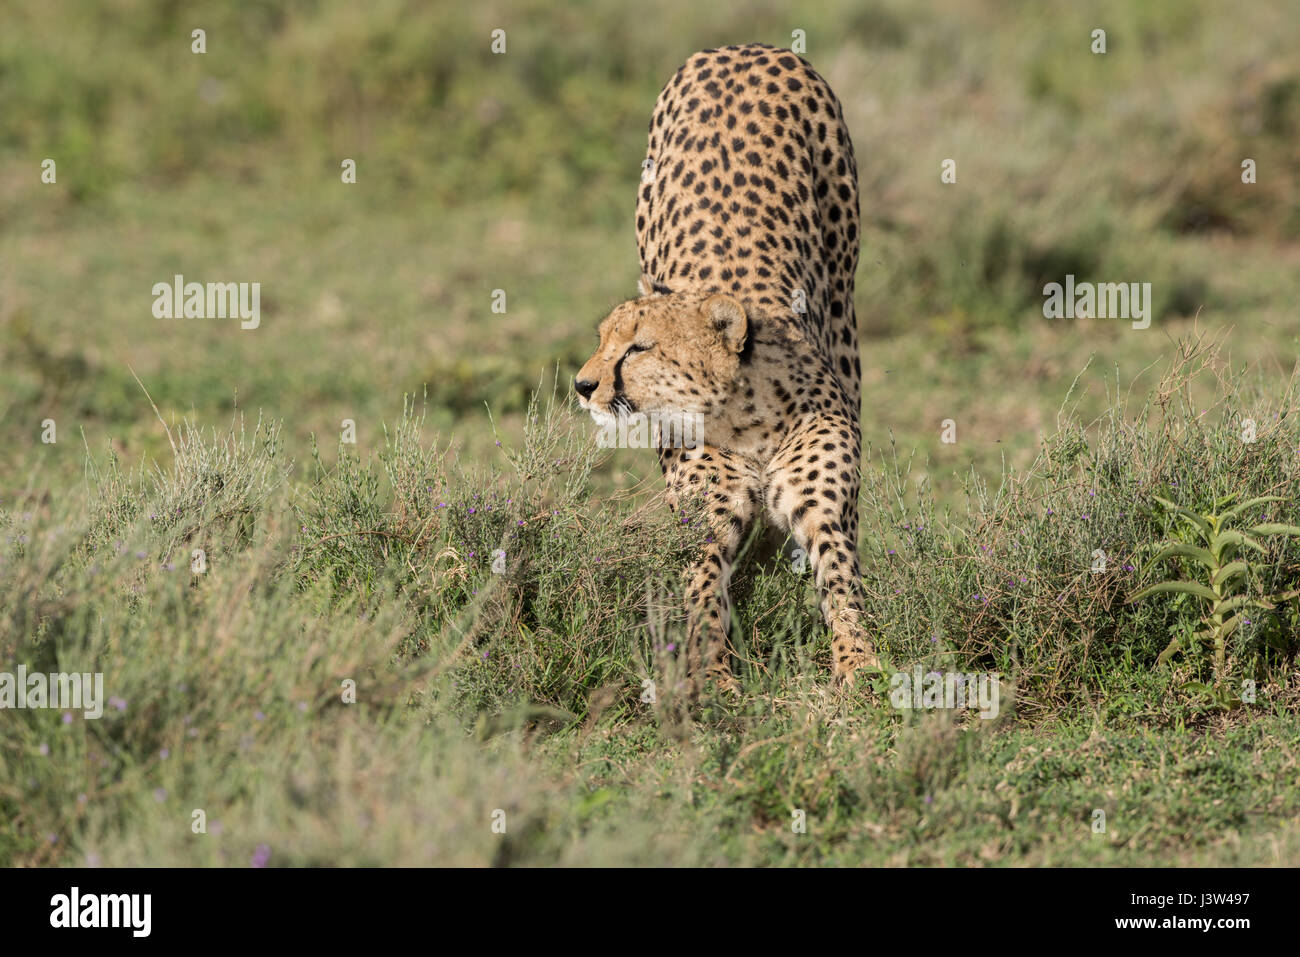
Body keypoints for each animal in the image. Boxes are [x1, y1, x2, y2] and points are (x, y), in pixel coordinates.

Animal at [575, 43, 878, 693]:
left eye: (637, 349)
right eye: (604, 341)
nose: (583, 386)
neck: (747, 412)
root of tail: (745, 47)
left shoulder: (822, 509)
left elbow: (842, 577)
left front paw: (859, 662)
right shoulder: (705, 519)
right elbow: (703, 589)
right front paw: (713, 672)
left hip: (844, 301)